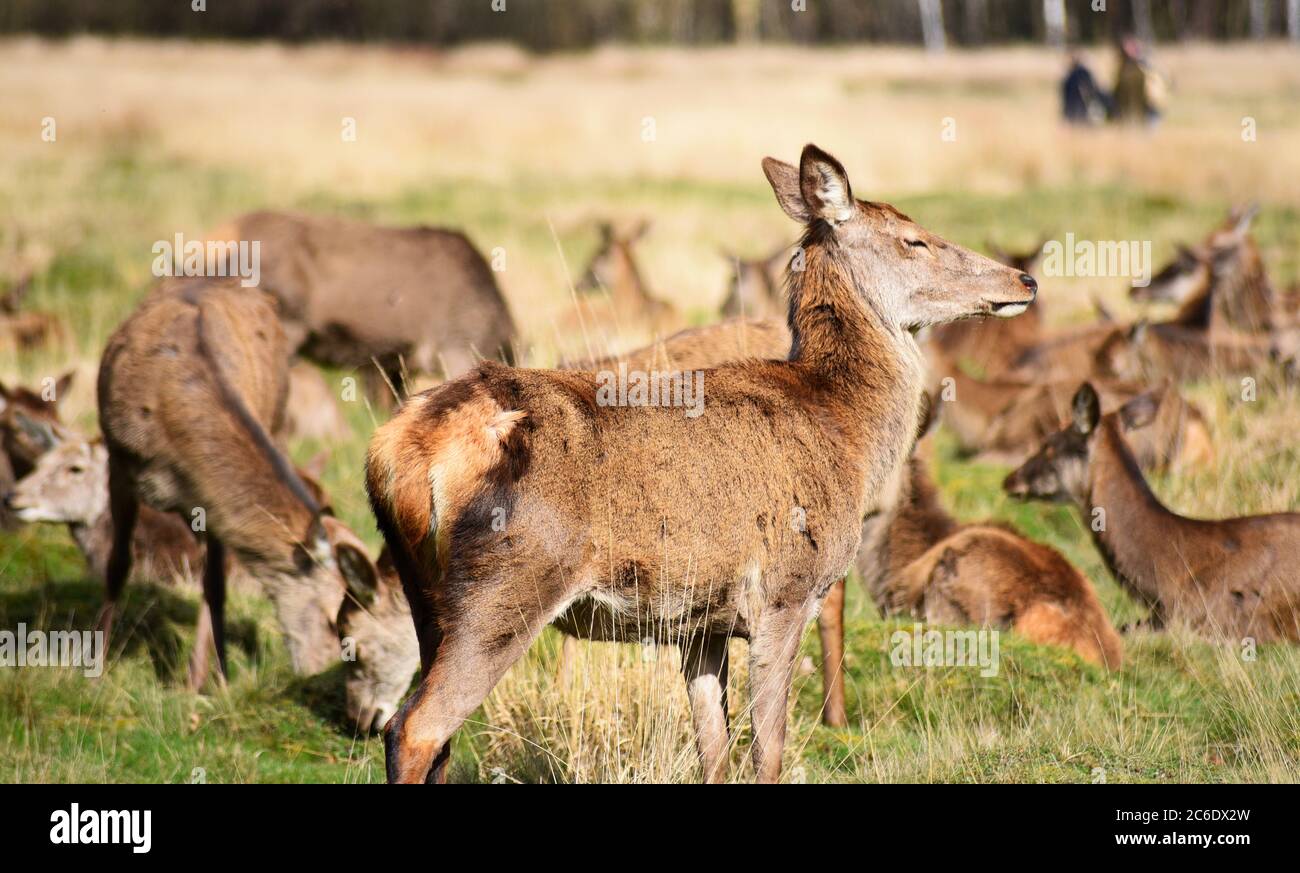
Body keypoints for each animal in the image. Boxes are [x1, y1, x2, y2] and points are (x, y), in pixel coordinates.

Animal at [97, 276, 380, 689]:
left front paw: (205, 681)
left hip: (278, 419)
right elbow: (117, 563)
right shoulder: (118, 461)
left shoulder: (207, 505)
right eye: (335, 623)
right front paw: (94, 667)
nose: (317, 675)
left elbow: (215, 584)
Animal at [364, 144, 1037, 784]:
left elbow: (712, 751)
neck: (846, 431)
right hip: (509, 581)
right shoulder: (785, 592)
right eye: (914, 238)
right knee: (416, 728)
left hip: (424, 591)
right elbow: (767, 751)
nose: (1024, 280)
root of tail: (398, 449)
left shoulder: (699, 622)